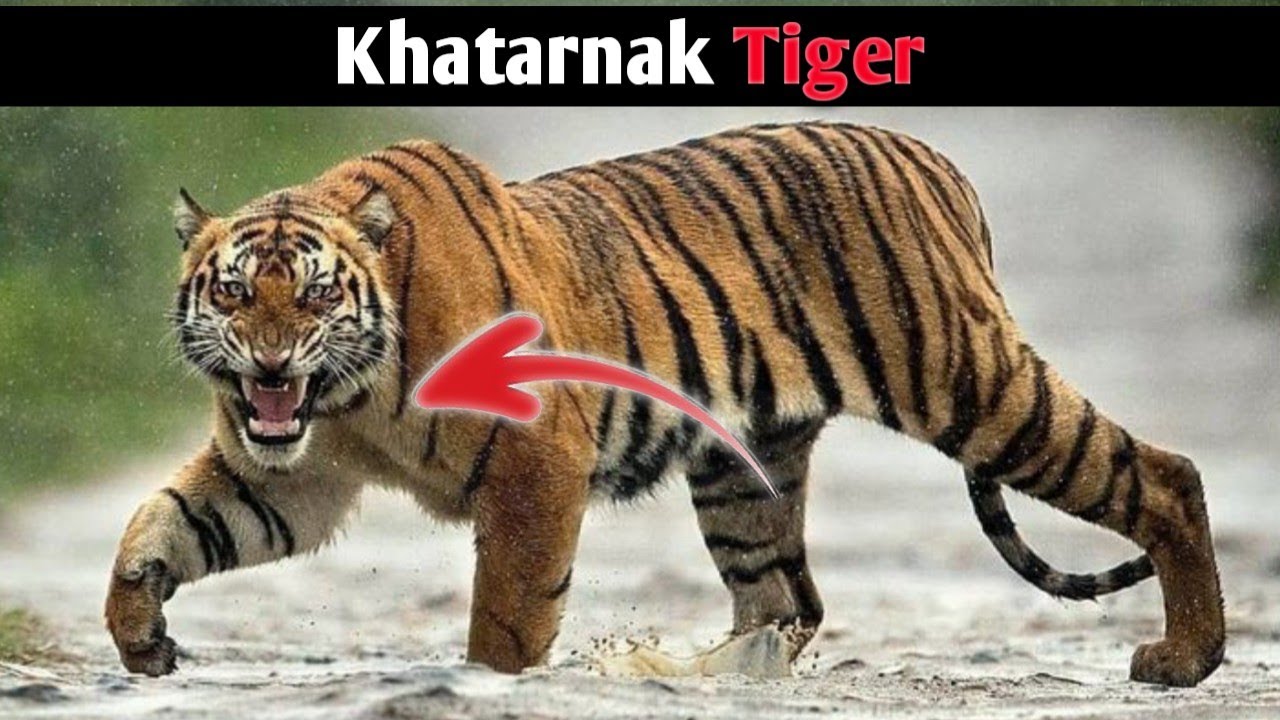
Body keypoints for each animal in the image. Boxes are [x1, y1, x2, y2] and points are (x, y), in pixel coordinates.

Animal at [104, 121, 1224, 688]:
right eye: (234, 292)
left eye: (313, 295)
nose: (269, 361)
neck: (348, 396)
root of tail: (936, 160)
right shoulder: (288, 475)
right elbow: (159, 524)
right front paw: (140, 639)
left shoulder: (533, 466)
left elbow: (505, 615)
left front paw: (489, 688)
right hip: (743, 471)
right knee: (785, 602)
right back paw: (693, 678)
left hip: (969, 383)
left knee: (1161, 474)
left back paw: (1185, 658)